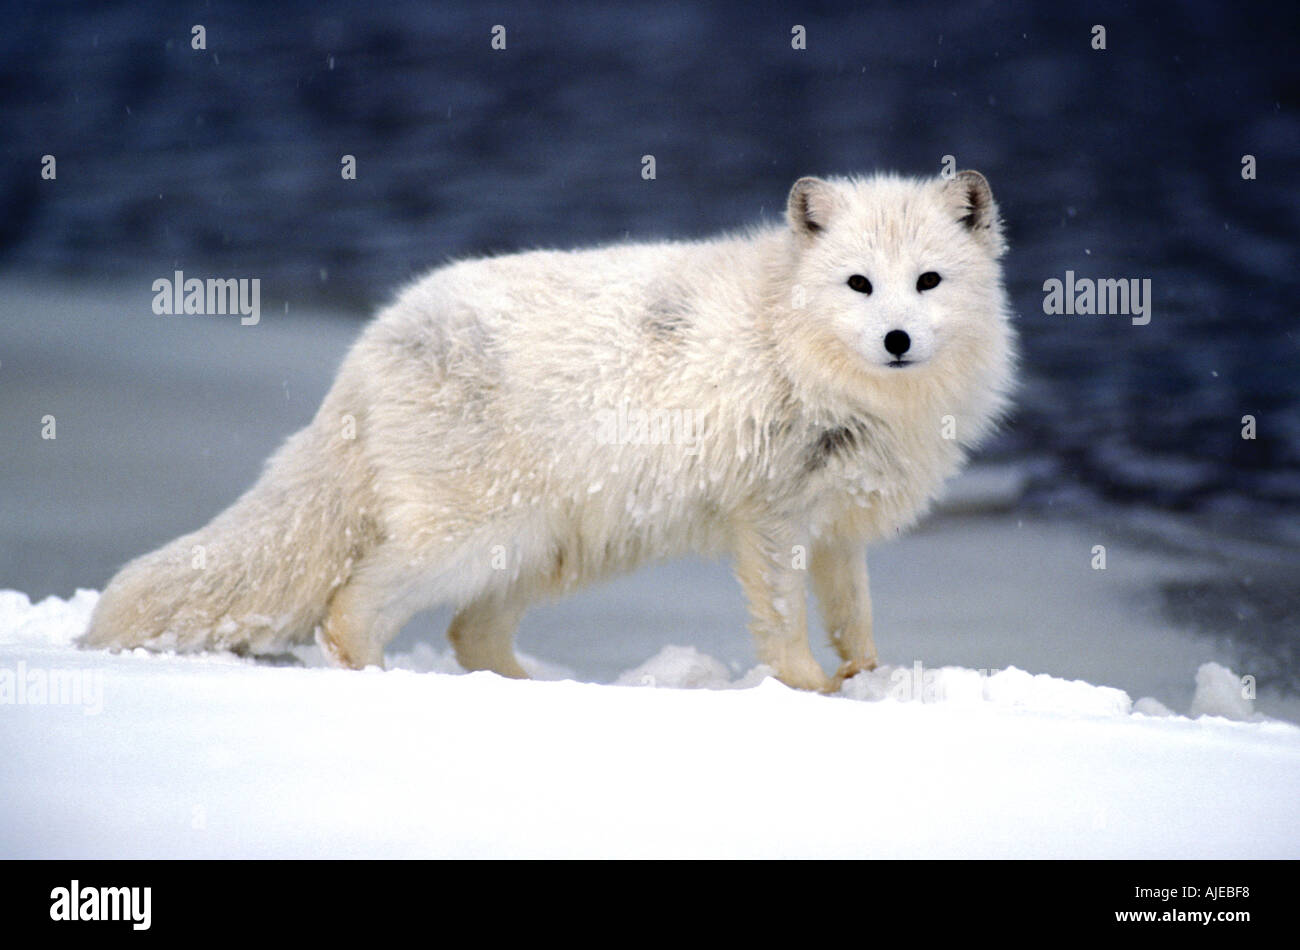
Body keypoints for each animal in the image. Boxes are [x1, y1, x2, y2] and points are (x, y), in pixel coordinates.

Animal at [80, 170, 1016, 692]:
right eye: (858, 284)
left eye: (927, 282)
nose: (897, 339)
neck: (791, 345)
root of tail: (368, 350)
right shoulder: (771, 520)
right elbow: (784, 625)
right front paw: (812, 692)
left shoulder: (835, 527)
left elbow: (855, 617)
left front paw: (865, 679)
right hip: (468, 537)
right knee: (352, 611)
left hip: (540, 545)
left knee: (470, 632)